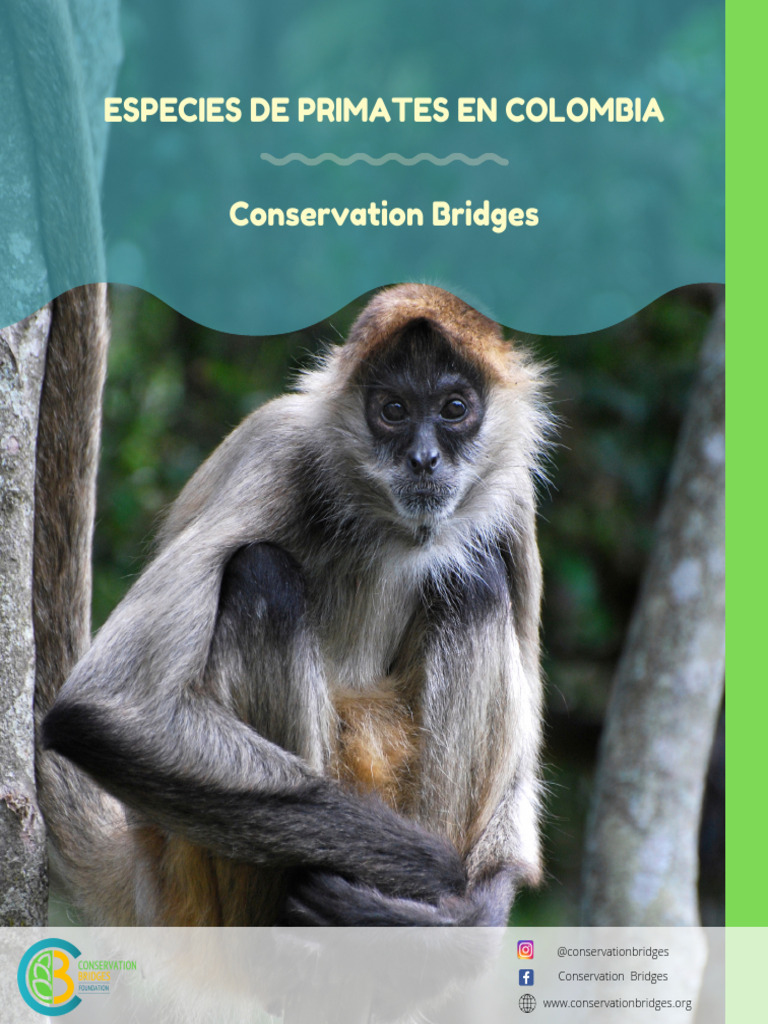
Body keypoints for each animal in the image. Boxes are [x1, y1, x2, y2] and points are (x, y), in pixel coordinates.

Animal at [39, 283, 550, 926]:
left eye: (454, 408)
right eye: (393, 411)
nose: (424, 459)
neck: (387, 525)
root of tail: (140, 865)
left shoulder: (512, 493)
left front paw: (463, 914)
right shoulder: (282, 454)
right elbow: (99, 710)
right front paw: (434, 880)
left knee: (475, 582)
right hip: (190, 868)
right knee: (262, 575)